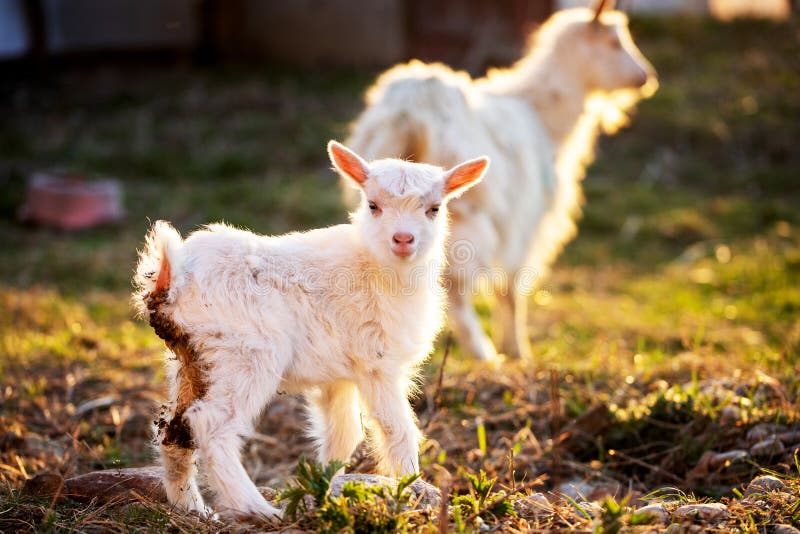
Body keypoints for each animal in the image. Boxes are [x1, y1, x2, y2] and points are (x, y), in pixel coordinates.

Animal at [133, 141, 488, 519]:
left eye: (434, 208)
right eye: (373, 205)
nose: (403, 239)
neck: (375, 268)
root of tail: (172, 278)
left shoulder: (340, 376)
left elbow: (342, 436)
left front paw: (326, 488)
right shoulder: (377, 365)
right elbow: (399, 430)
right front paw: (410, 490)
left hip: (191, 361)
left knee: (174, 430)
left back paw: (192, 508)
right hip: (246, 354)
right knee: (209, 424)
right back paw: (258, 508)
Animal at [344, 0, 657, 361]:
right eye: (614, 42)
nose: (646, 78)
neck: (543, 118)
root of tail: (412, 113)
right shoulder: (525, 223)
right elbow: (511, 288)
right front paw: (518, 350)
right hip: (467, 219)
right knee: (455, 287)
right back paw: (483, 352)